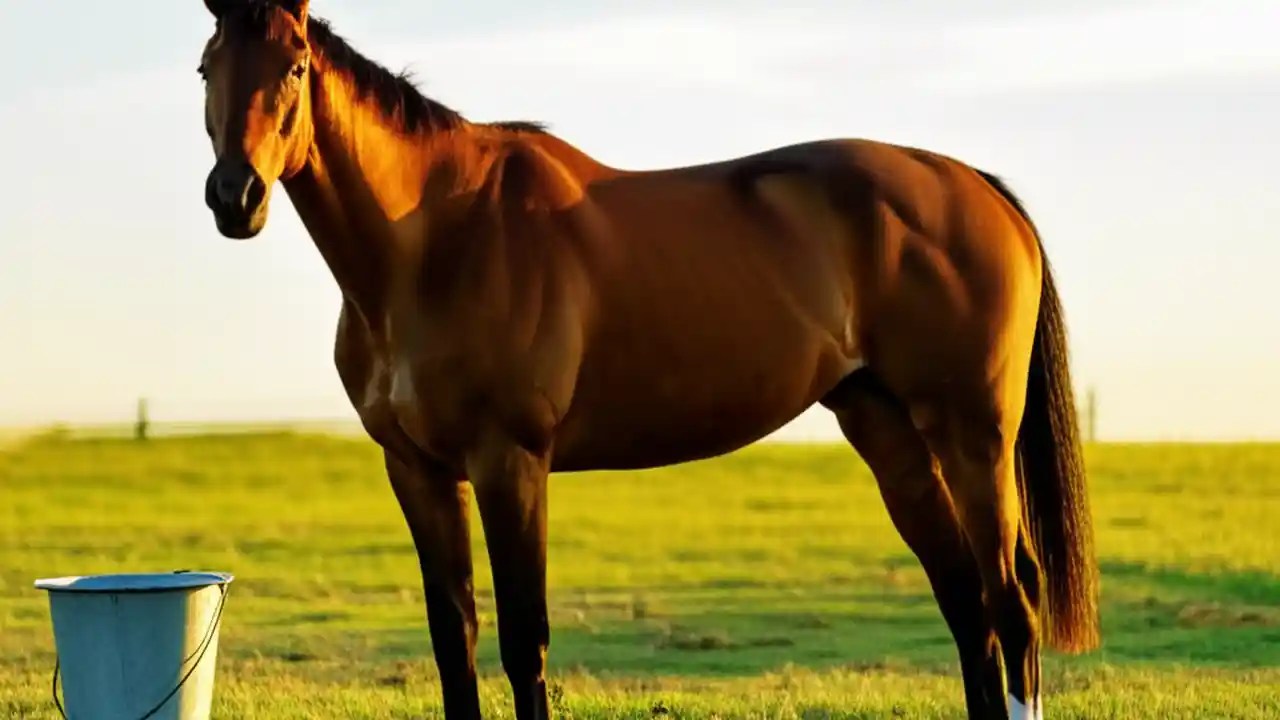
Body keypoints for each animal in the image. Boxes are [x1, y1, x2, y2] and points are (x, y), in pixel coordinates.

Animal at [194, 1, 1100, 718]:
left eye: (296, 65)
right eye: (208, 66)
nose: (235, 197)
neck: (433, 238)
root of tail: (975, 185)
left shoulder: (509, 461)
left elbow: (524, 642)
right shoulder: (416, 469)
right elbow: (454, 640)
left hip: (973, 436)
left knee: (1011, 602)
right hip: (889, 432)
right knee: (968, 606)